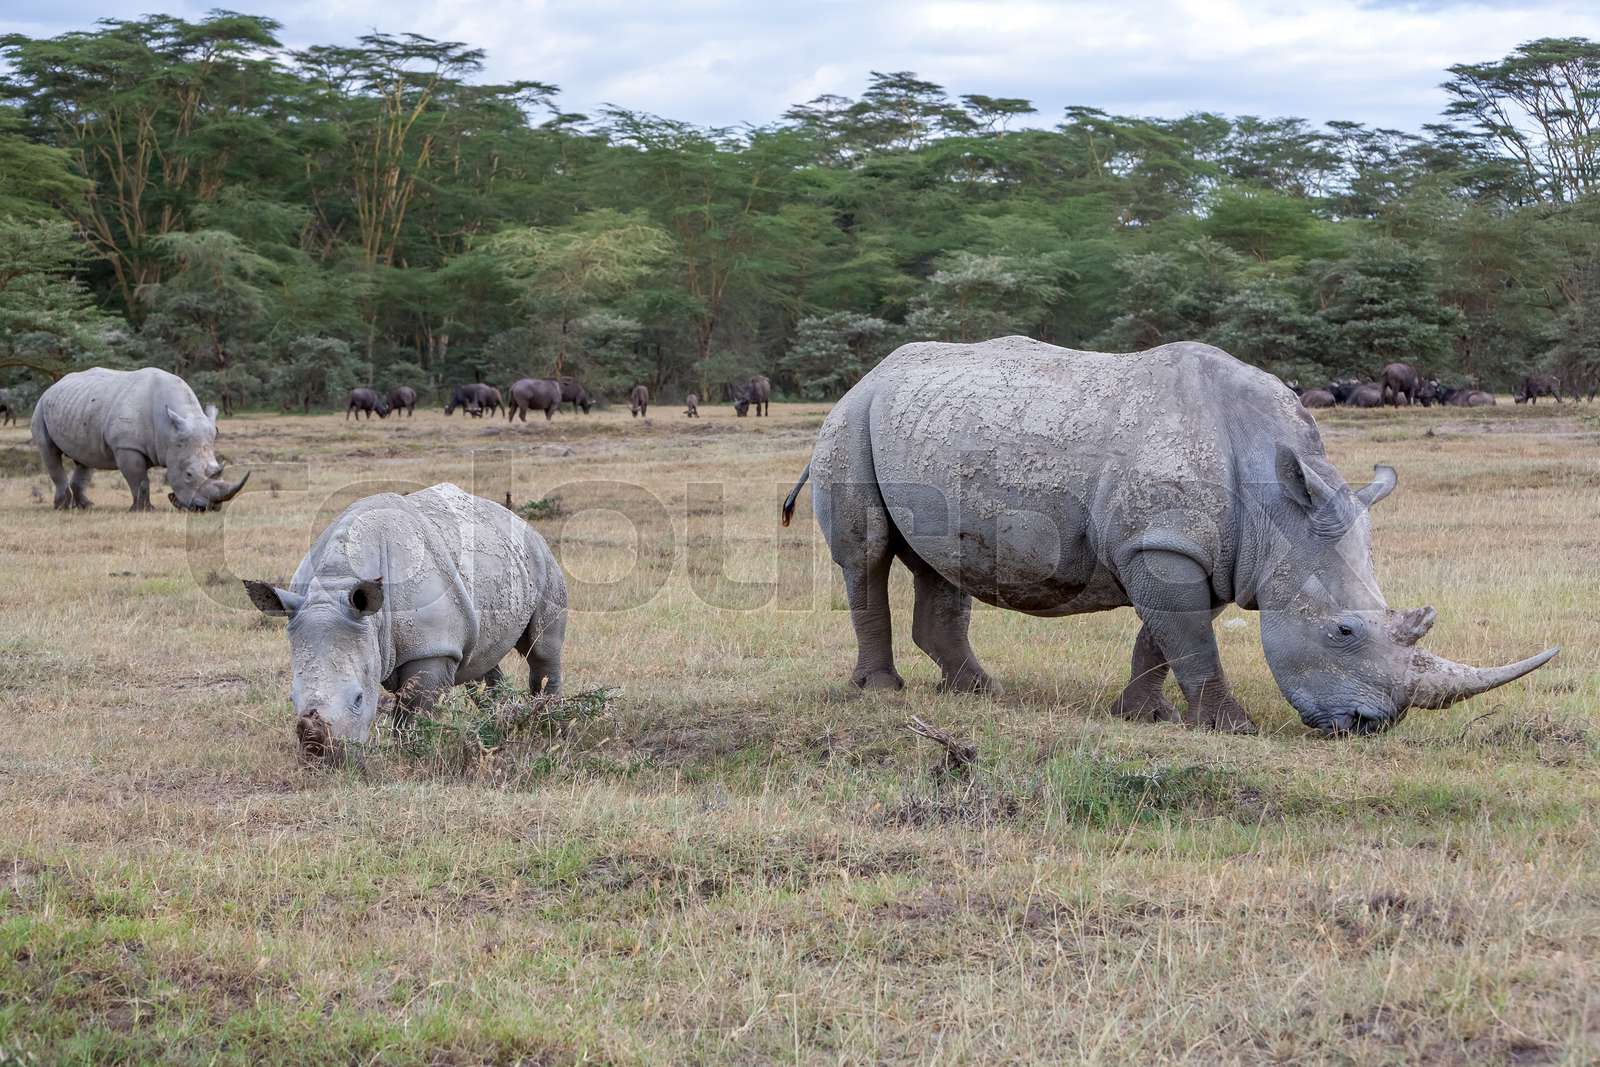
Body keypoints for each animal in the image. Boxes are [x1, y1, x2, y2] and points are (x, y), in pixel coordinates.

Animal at [32, 367, 249, 512]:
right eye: (188, 474)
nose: (210, 508)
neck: (169, 431)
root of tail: (55, 385)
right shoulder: (127, 446)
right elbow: (140, 479)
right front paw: (143, 510)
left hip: (80, 406)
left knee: (85, 458)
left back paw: (86, 506)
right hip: (41, 405)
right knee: (49, 451)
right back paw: (62, 507)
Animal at [243, 482, 567, 760]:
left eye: (359, 699)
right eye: (291, 698)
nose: (321, 759)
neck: (336, 584)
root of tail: (517, 518)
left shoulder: (431, 647)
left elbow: (413, 711)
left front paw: (411, 753)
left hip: (541, 555)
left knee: (542, 650)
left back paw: (549, 726)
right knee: (480, 659)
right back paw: (500, 725)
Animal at [780, 337, 1556, 737]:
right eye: (1342, 632)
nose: (1375, 723)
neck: (1280, 507)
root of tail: (870, 374)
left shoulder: (1201, 549)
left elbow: (1167, 636)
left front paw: (1142, 716)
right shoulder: (1166, 544)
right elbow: (1191, 641)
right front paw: (1231, 728)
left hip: (923, 427)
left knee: (940, 564)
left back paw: (978, 693)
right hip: (849, 421)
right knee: (866, 556)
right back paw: (882, 692)